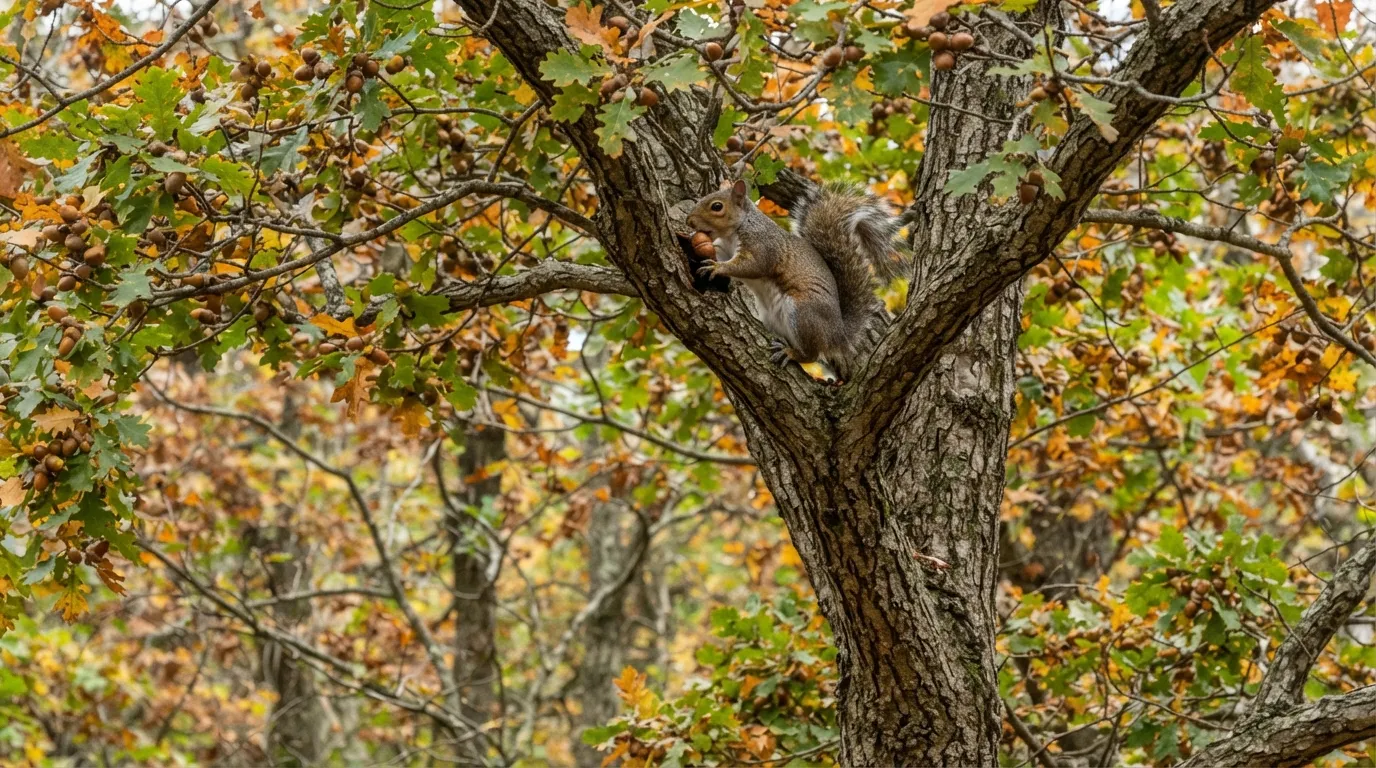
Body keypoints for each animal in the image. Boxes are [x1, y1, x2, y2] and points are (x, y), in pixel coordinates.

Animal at [686, 179, 907, 381]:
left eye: (717, 206)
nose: (689, 222)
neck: (736, 230)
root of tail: (838, 333)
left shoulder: (763, 246)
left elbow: (751, 266)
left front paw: (717, 268)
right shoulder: (724, 248)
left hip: (802, 312)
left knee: (812, 354)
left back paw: (792, 354)